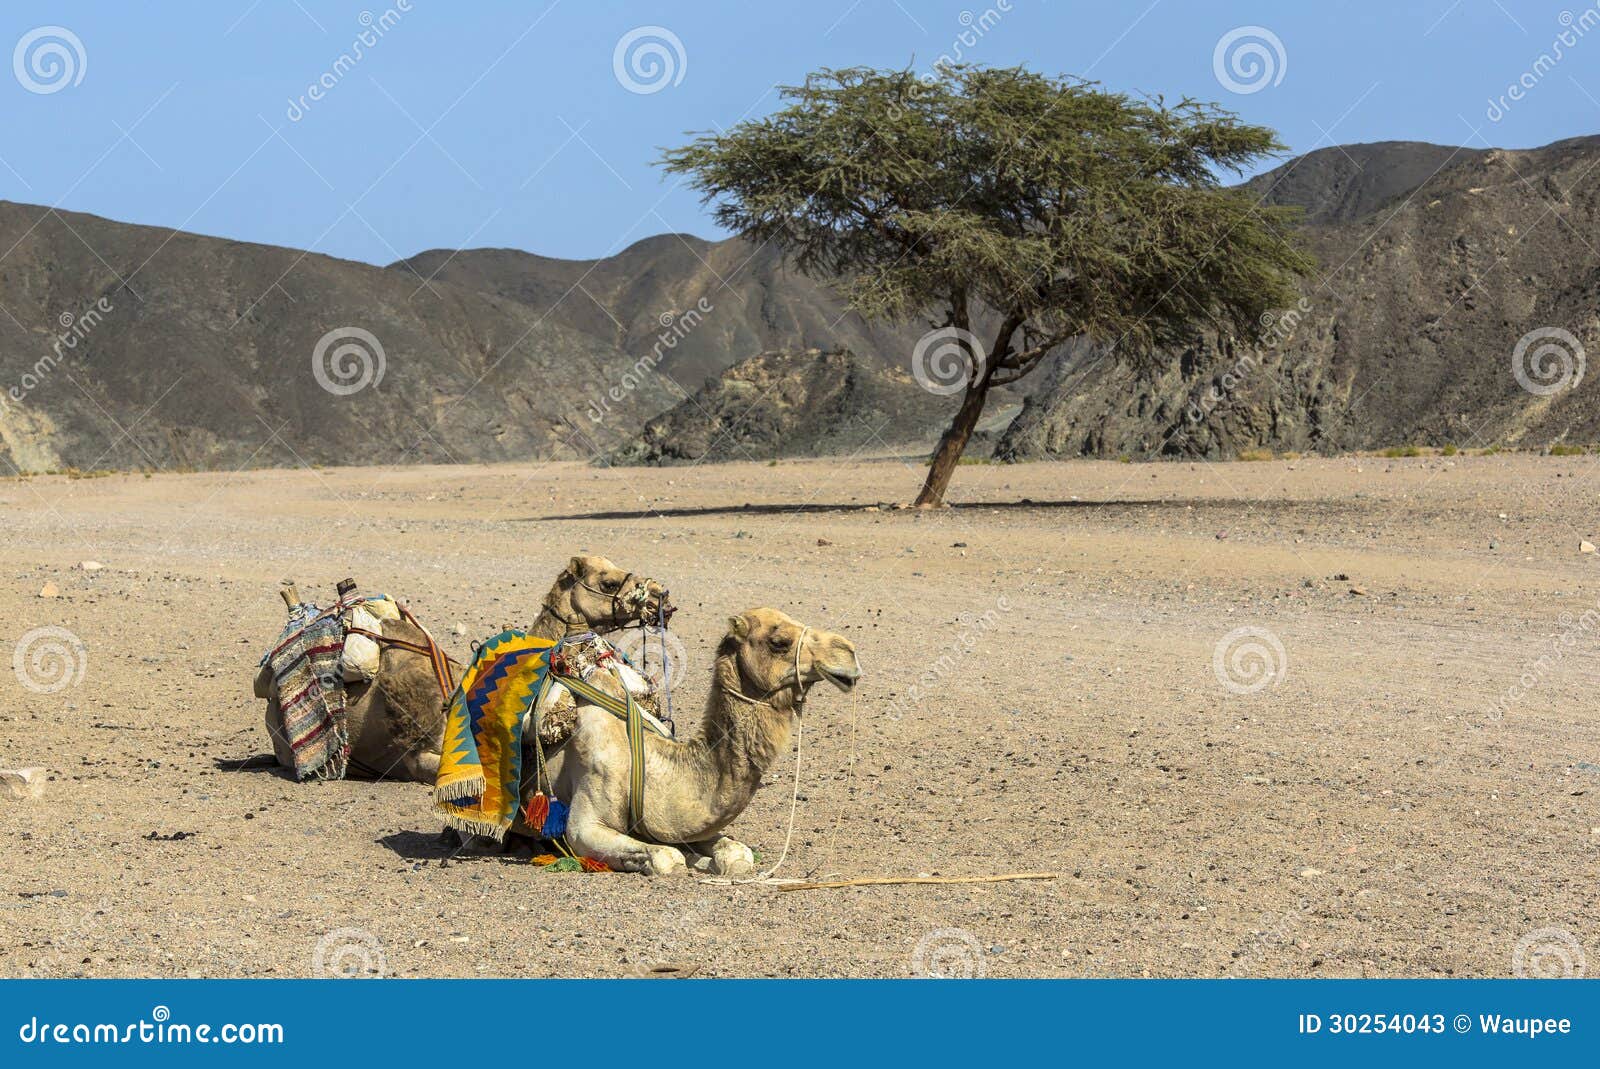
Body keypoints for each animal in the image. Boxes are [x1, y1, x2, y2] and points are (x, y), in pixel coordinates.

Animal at [536, 608, 861, 875]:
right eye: (778, 641)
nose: (849, 652)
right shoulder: (584, 825)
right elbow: (668, 859)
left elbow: (737, 854)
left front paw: (706, 860)